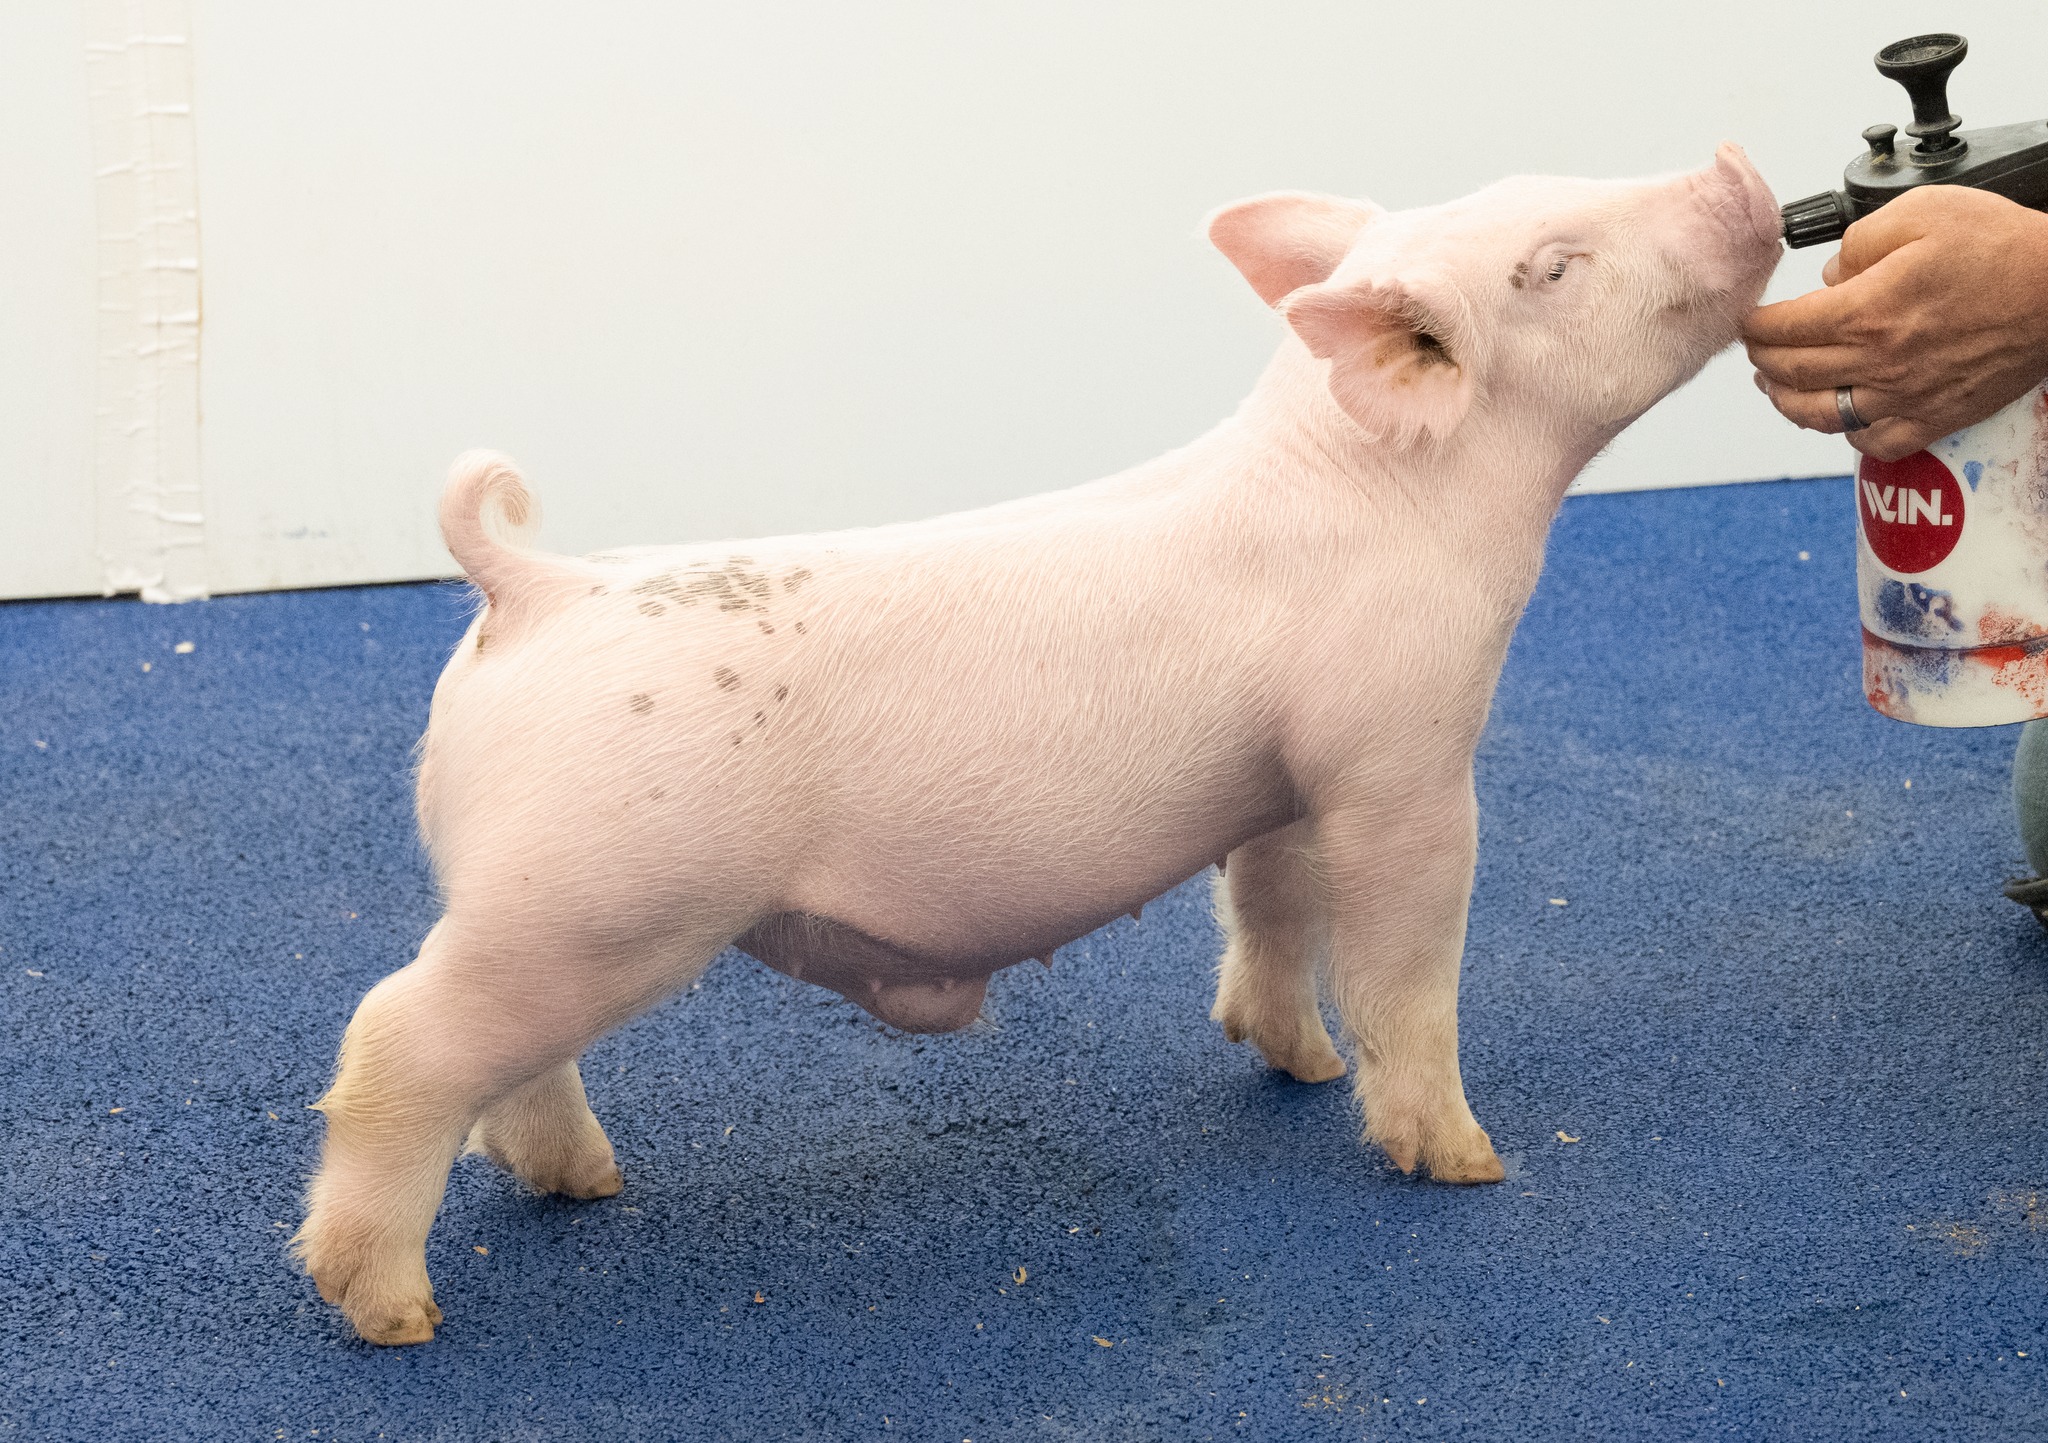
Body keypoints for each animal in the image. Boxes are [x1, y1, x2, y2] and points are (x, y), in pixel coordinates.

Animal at [294, 145, 1782, 1343]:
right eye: (1551, 264)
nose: (1731, 161)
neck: (1407, 495)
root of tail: (532, 586)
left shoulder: (1282, 777)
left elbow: (1272, 905)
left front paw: (1295, 1063)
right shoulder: (1399, 758)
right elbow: (1406, 958)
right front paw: (1468, 1162)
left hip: (539, 910)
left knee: (503, 1059)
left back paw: (585, 1183)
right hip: (595, 898)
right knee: (398, 1033)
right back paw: (393, 1311)